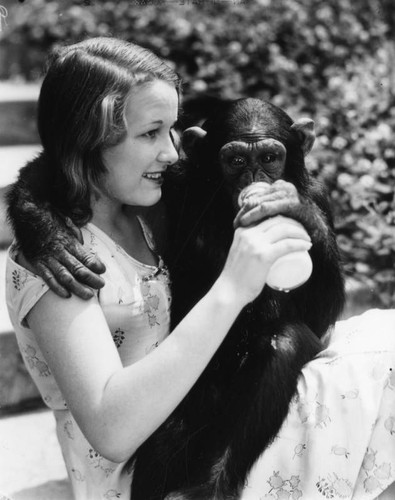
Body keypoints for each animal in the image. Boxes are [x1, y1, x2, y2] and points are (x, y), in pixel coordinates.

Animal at [6, 97, 346, 500]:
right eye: (236, 161)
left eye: (268, 158)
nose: (254, 181)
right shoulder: (170, 182)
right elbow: (51, 177)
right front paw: (50, 238)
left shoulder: (321, 198)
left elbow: (319, 314)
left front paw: (292, 208)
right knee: (167, 436)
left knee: (283, 343)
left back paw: (209, 484)